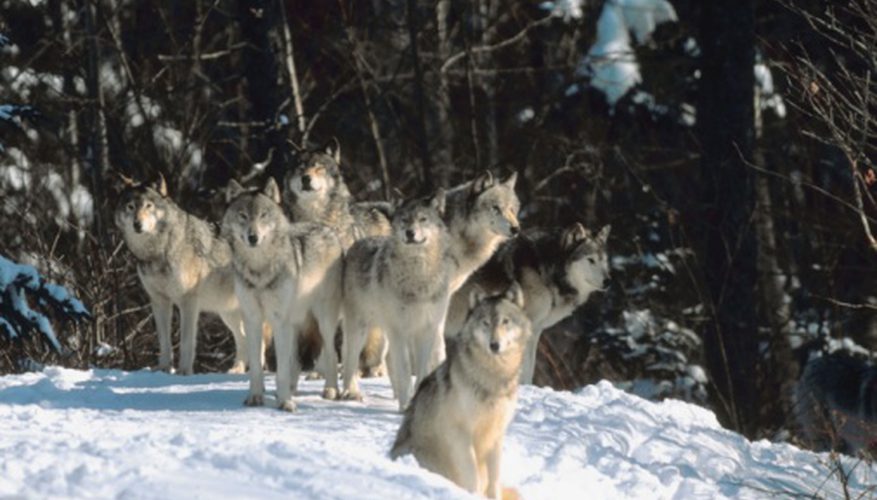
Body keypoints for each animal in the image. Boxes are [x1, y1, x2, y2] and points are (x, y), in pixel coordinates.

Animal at [114, 174, 254, 375]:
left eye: (149, 206)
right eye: (130, 207)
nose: (137, 225)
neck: (158, 252)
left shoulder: (188, 302)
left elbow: (186, 342)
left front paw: (184, 372)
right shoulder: (159, 301)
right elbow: (164, 342)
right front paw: (163, 370)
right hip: (227, 313)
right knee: (243, 338)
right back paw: (237, 370)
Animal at [222, 178, 344, 411]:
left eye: (263, 215)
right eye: (243, 215)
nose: (253, 237)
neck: (259, 269)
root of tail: (329, 230)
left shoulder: (279, 320)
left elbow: (281, 368)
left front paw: (285, 402)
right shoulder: (253, 319)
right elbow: (258, 365)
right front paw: (255, 398)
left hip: (323, 319)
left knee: (331, 353)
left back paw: (331, 391)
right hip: (295, 321)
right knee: (295, 359)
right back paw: (292, 389)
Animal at [341, 190, 452, 410]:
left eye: (422, 219)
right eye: (405, 220)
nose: (410, 233)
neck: (419, 277)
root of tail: (358, 243)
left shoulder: (426, 331)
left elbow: (421, 371)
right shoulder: (400, 331)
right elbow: (405, 372)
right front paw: (405, 405)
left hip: (384, 334)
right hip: (361, 329)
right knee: (350, 359)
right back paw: (351, 393)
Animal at [390, 284, 531, 499]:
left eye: (505, 322)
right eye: (485, 323)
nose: (494, 345)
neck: (492, 378)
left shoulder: (496, 434)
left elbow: (494, 478)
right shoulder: (460, 432)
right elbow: (472, 475)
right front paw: (471, 494)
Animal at [446, 223, 611, 384]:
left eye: (604, 261)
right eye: (591, 260)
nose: (608, 281)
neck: (545, 270)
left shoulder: (535, 331)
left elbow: (530, 369)